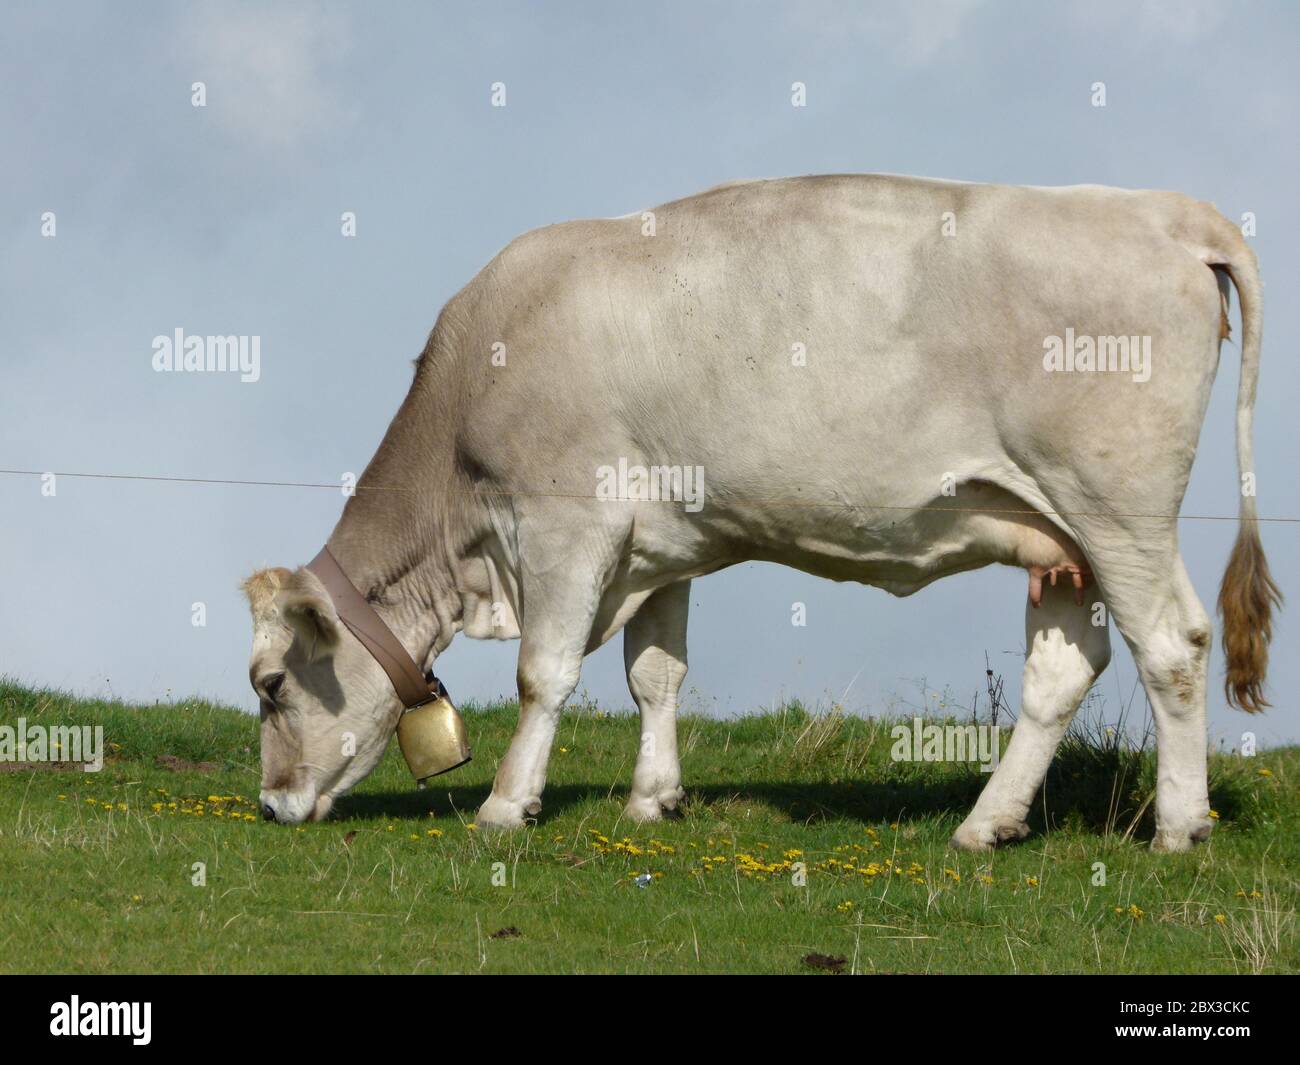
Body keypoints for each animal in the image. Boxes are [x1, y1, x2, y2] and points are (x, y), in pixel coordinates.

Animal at [244, 173, 1278, 852]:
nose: (272, 804)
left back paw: (1178, 825)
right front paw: (653, 798)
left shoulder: (567, 520)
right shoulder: (657, 543)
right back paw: (986, 823)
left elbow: (545, 673)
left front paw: (506, 805)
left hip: (1116, 508)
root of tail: (1165, 210)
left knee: (1172, 644)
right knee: (1065, 670)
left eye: (271, 683)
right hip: (1059, 534)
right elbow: (654, 674)